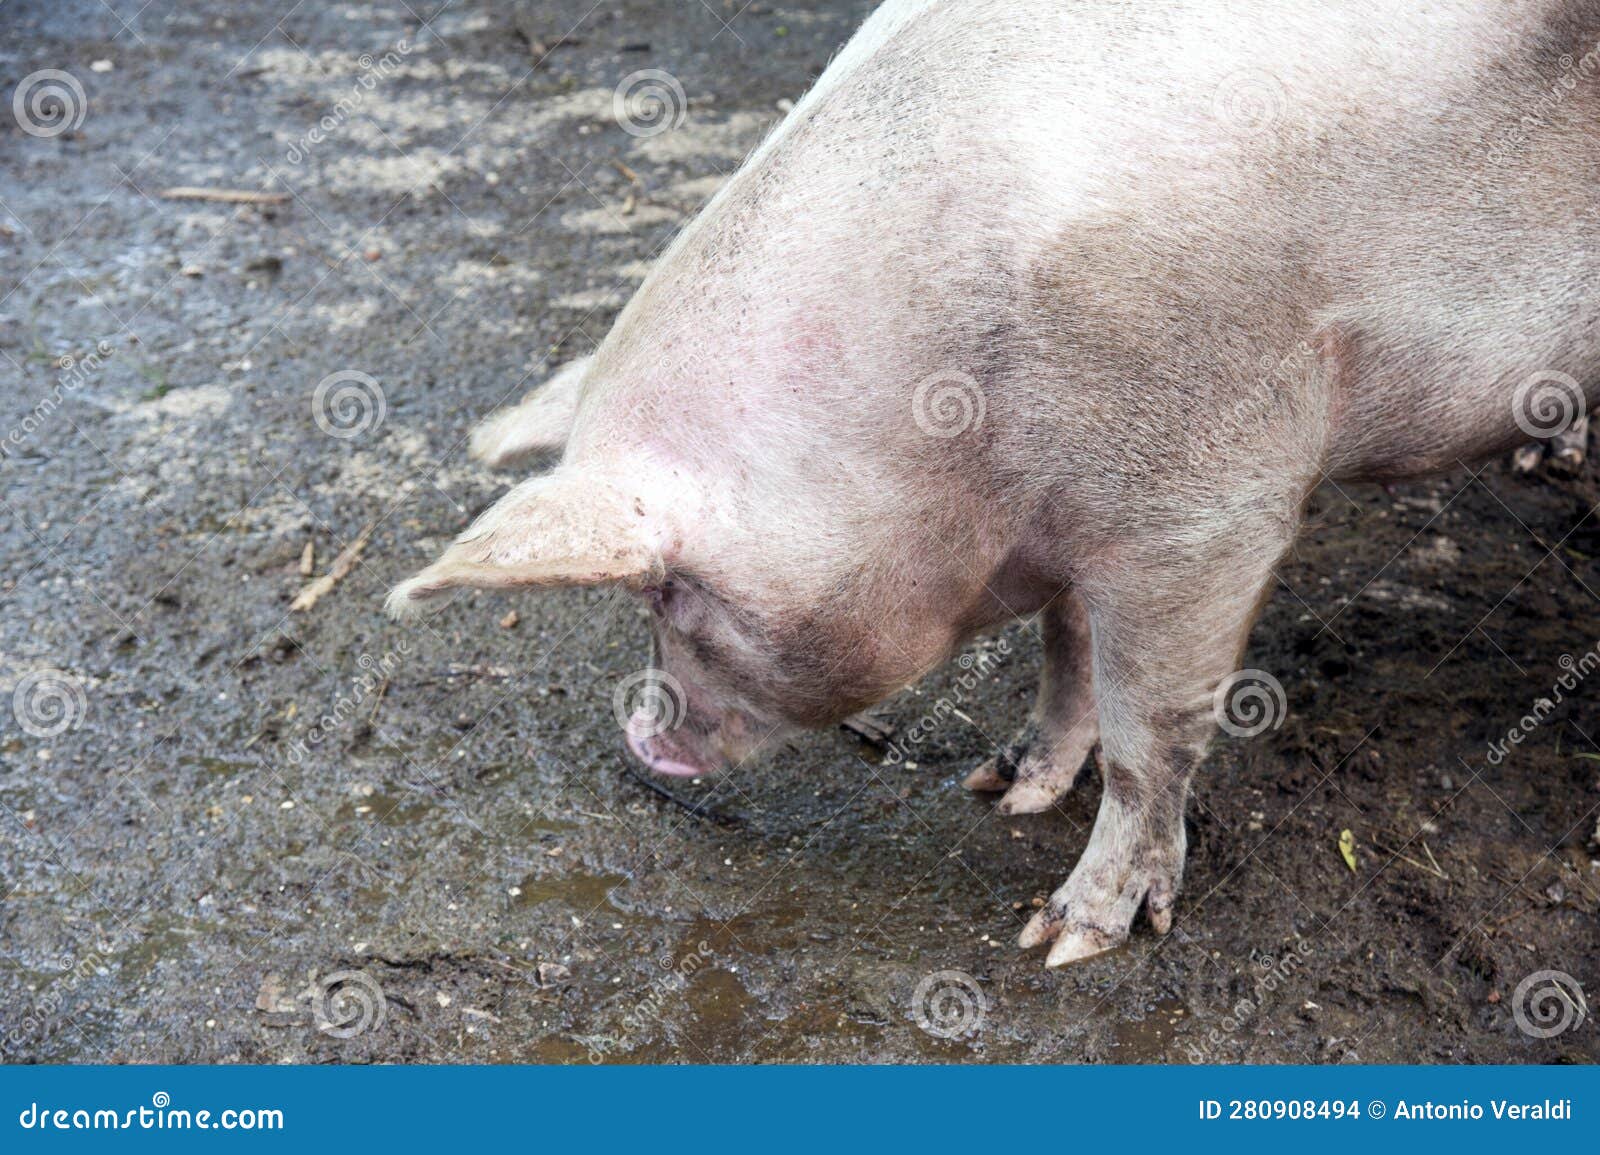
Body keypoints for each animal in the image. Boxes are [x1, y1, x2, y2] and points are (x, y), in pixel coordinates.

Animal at [389, 0, 1600, 967]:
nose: (642, 741)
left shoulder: (1209, 505)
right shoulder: (1076, 525)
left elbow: (1152, 729)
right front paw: (1000, 786)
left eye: (665, 594)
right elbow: (1065, 651)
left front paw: (1064, 940)